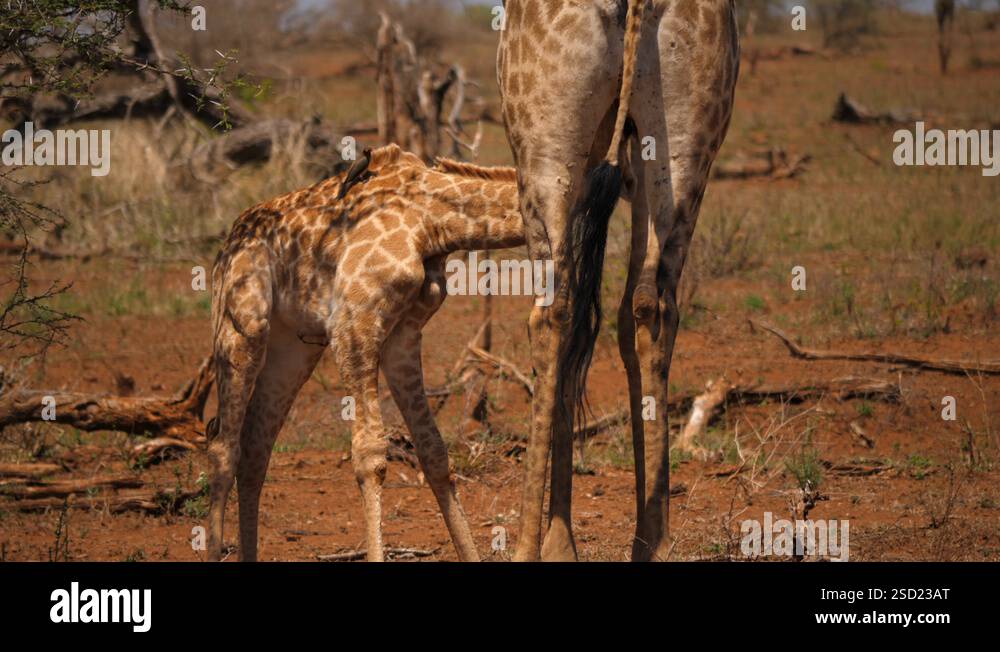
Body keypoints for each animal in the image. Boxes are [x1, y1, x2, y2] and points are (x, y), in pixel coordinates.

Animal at [206, 144, 524, 562]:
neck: (432, 216)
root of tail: (227, 243)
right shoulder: (353, 325)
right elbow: (370, 455)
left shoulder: (403, 335)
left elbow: (433, 450)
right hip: (242, 325)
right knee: (222, 447)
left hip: (293, 349)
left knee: (255, 450)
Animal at [497, 0, 740, 561]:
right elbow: (627, 318)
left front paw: (560, 539)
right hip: (685, 139)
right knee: (652, 306)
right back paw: (654, 541)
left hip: (541, 149)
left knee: (553, 313)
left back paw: (534, 545)